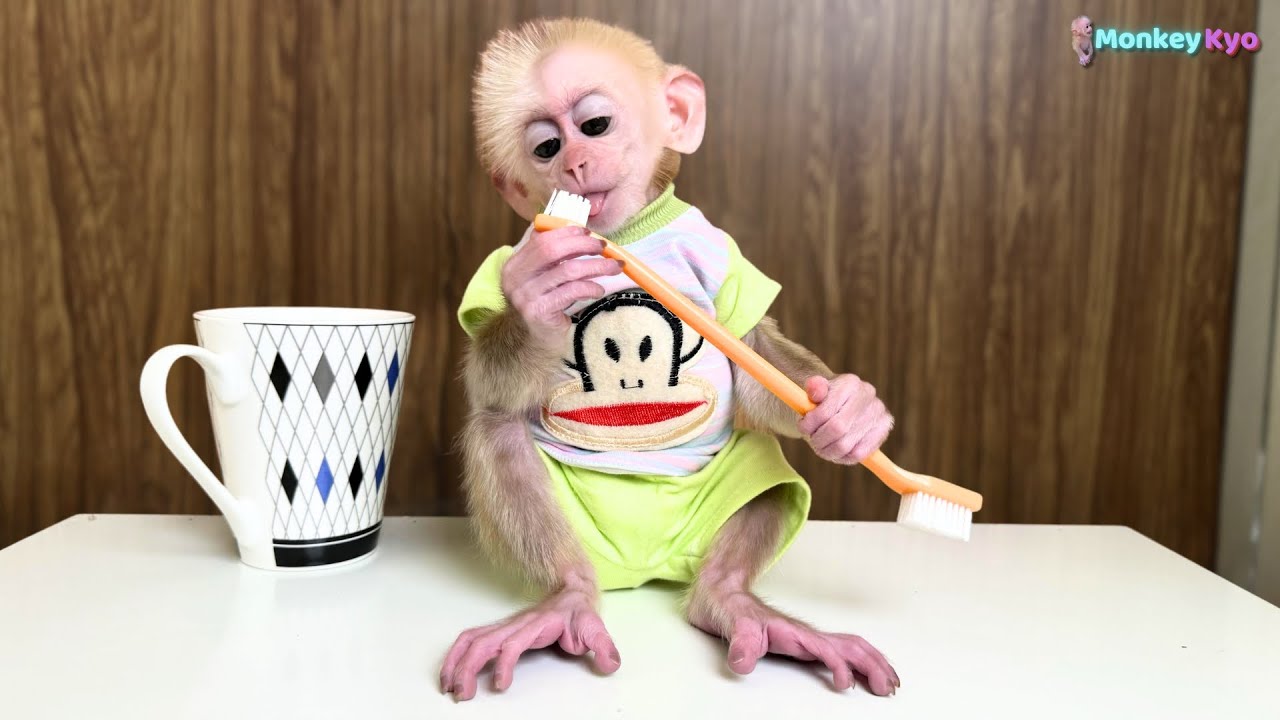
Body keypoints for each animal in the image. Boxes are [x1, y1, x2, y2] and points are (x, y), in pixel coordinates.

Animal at [443, 17, 900, 701]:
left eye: (595, 125)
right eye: (545, 148)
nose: (574, 162)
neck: (625, 235)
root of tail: (643, 565)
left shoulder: (733, 269)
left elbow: (758, 366)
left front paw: (851, 412)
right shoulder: (509, 258)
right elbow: (492, 375)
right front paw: (535, 301)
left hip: (738, 494)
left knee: (765, 484)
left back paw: (736, 604)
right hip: (572, 533)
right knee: (499, 428)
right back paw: (565, 603)